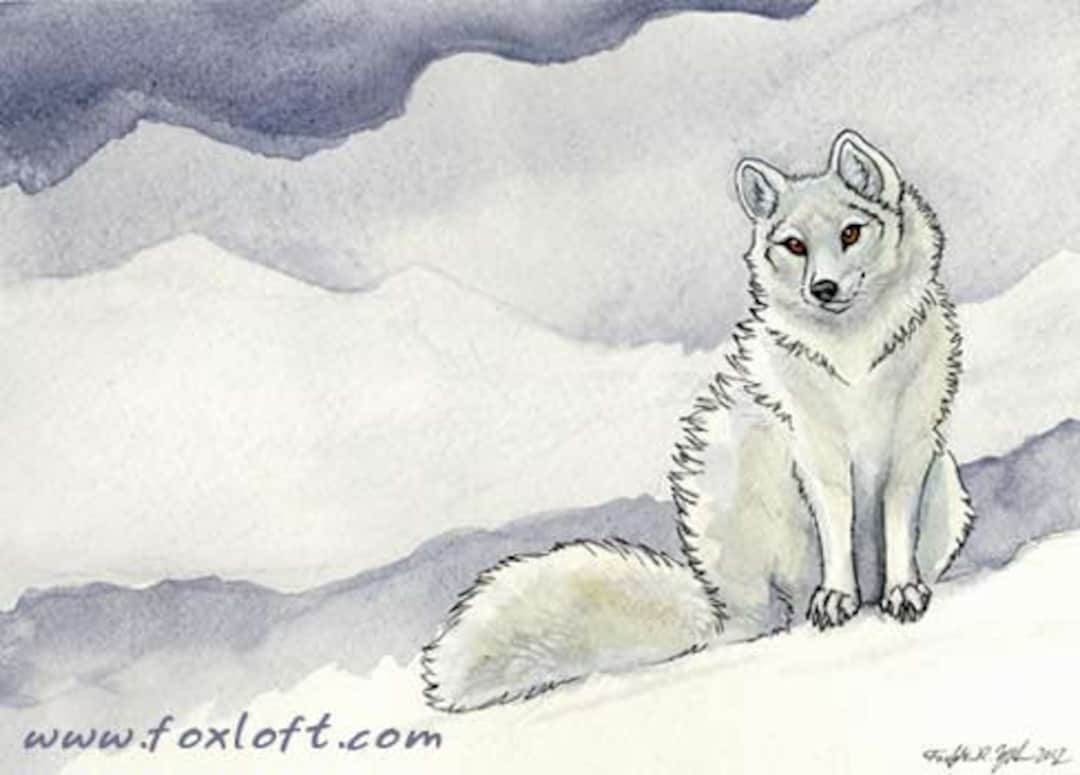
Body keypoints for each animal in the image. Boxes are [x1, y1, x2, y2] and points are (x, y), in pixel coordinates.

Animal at [421, 130, 975, 712]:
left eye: (851, 232)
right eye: (794, 246)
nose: (823, 288)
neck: (853, 358)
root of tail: (719, 611)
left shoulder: (913, 444)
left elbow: (897, 528)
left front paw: (904, 592)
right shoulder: (817, 452)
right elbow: (836, 531)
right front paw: (836, 598)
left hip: (947, 484)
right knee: (771, 617)